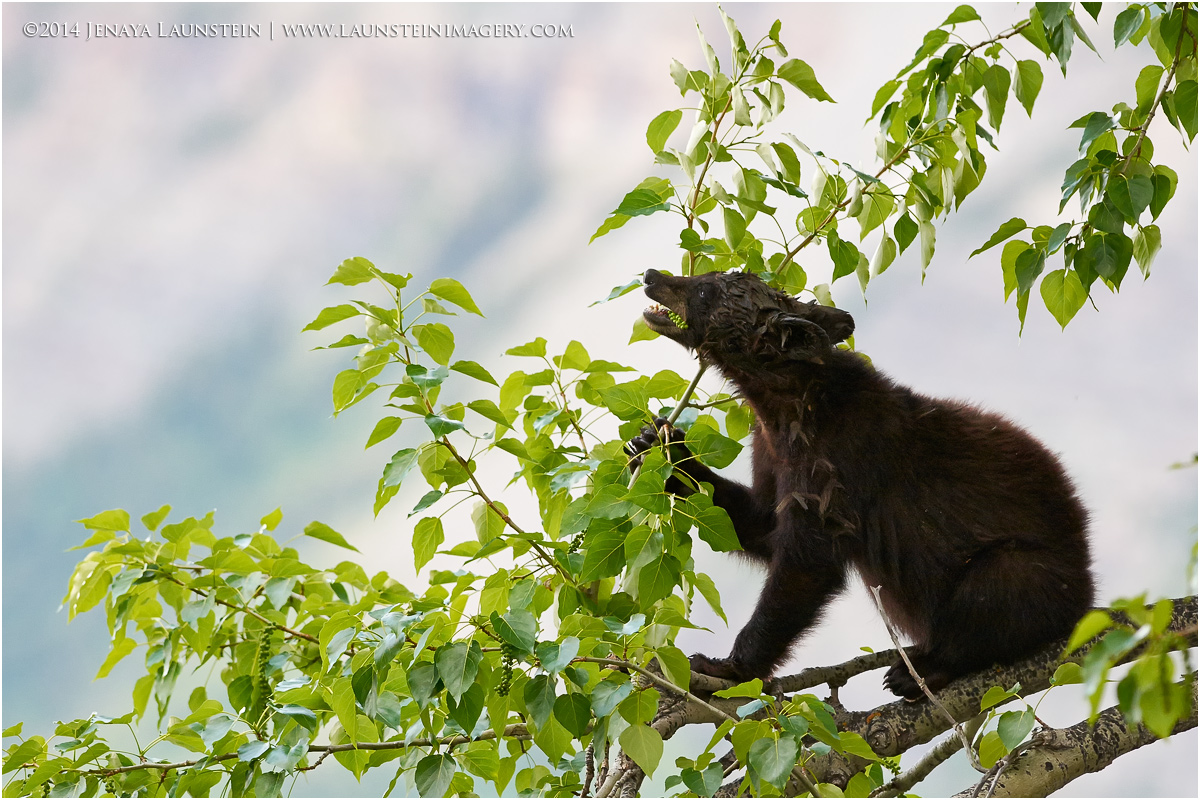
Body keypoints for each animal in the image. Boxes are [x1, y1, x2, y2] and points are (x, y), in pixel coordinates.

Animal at [625, 268, 1095, 700]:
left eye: (706, 289)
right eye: (710, 277)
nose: (652, 275)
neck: (787, 402)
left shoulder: (835, 459)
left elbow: (807, 560)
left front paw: (724, 666)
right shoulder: (771, 450)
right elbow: (761, 521)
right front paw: (657, 447)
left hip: (1034, 571)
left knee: (995, 588)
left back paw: (918, 669)